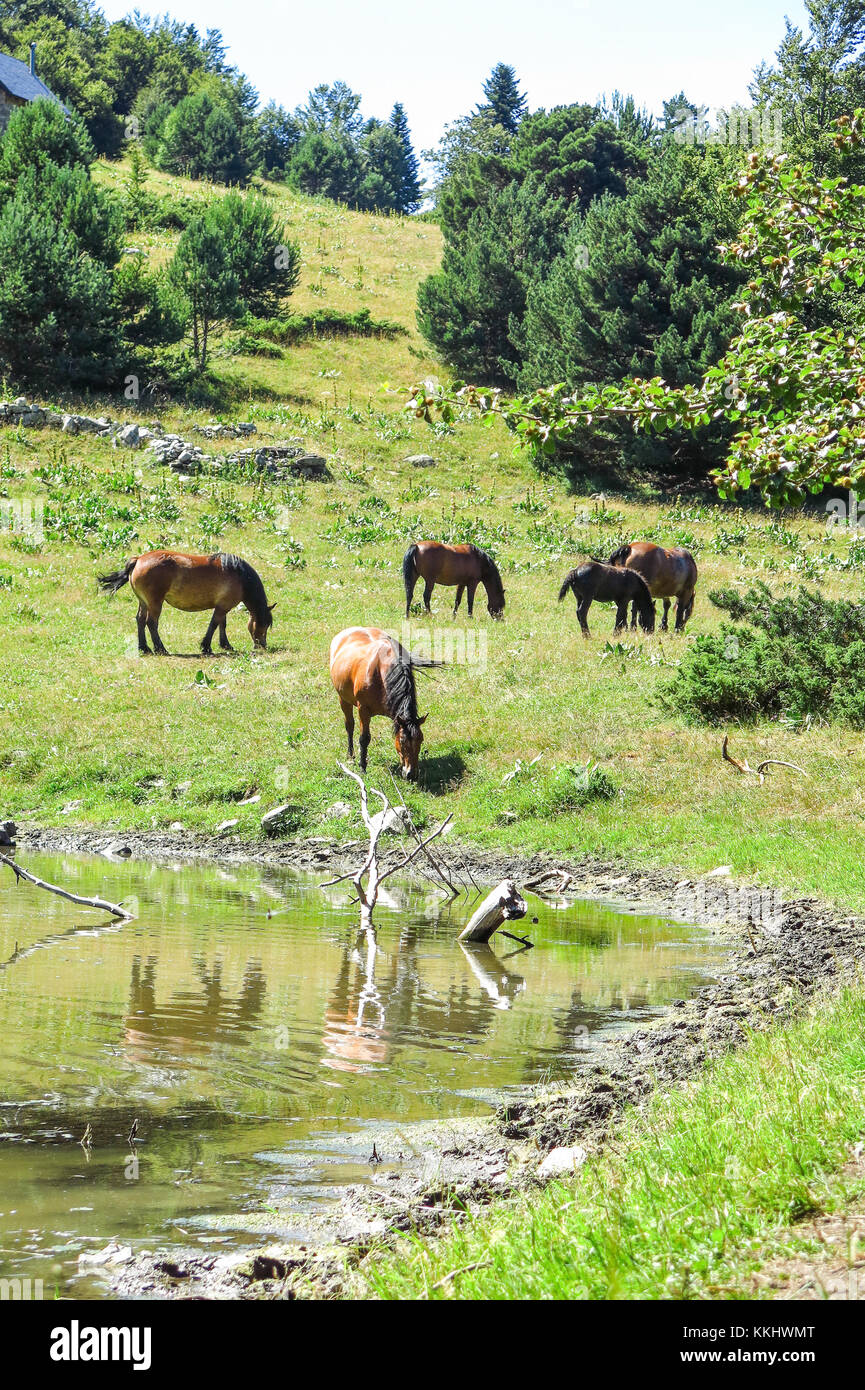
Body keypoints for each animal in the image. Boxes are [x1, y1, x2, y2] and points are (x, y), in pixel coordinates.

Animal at [98, 550, 275, 655]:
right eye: (264, 624)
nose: (262, 646)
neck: (239, 575)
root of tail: (138, 559)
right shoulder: (223, 607)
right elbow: (214, 624)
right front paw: (206, 647)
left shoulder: (222, 606)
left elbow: (222, 625)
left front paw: (225, 645)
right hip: (155, 603)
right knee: (151, 623)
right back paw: (160, 648)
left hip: (144, 602)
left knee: (140, 620)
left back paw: (145, 648)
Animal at [329, 626, 441, 780]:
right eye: (402, 741)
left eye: (421, 740)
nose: (411, 774)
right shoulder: (363, 710)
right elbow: (364, 738)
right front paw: (362, 767)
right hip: (343, 699)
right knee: (349, 725)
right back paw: (351, 755)